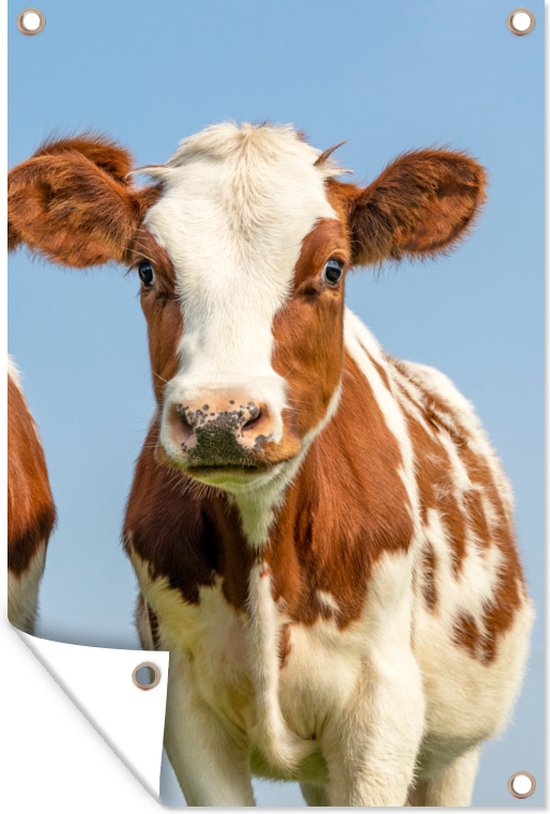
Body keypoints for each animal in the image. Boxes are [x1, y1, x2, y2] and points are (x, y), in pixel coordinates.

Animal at [8, 123, 533, 806]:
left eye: (333, 267)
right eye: (147, 269)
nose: (221, 416)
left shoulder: (382, 712)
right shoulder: (187, 709)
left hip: (453, 753)